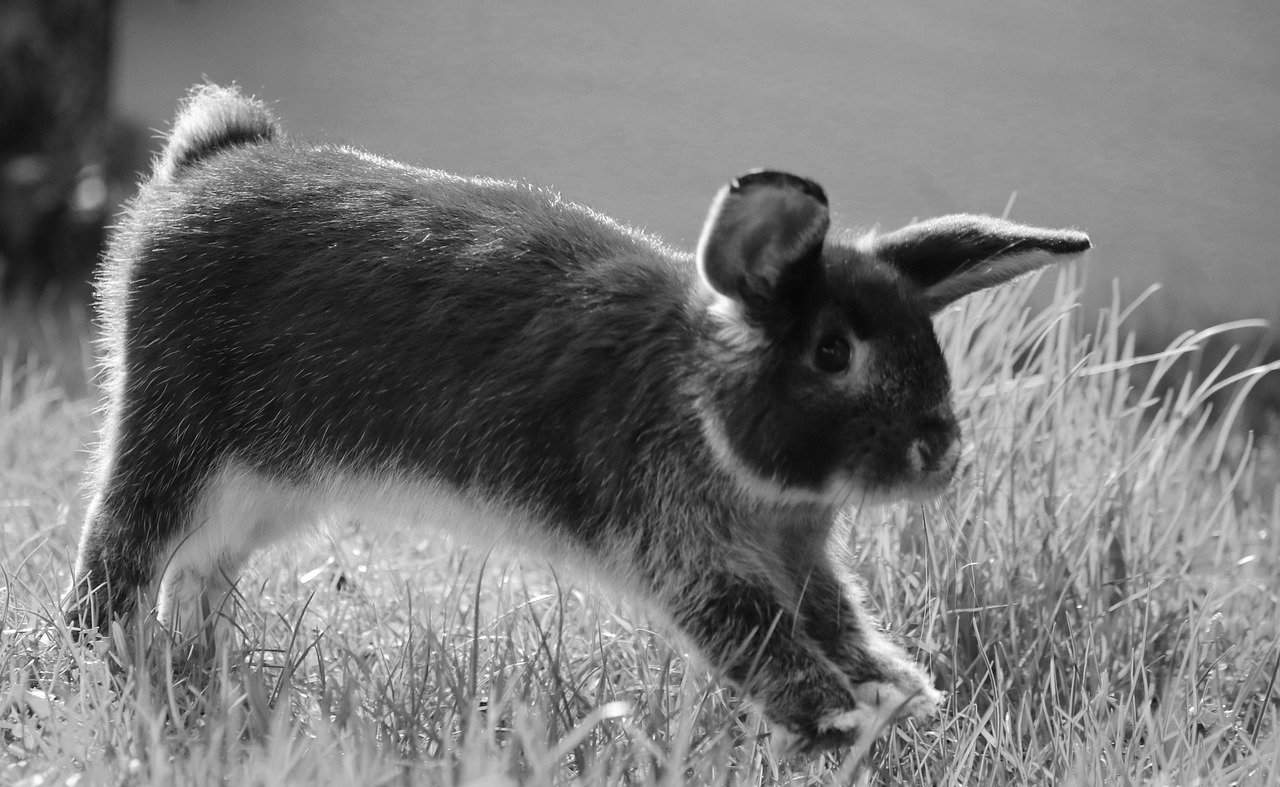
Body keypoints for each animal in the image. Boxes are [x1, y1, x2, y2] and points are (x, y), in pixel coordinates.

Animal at [65, 83, 1091, 754]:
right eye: (833, 352)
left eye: (927, 337)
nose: (941, 452)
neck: (697, 391)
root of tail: (201, 168)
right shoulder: (691, 552)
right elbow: (759, 634)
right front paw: (836, 717)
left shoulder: (797, 555)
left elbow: (834, 616)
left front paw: (901, 695)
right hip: (175, 436)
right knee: (120, 555)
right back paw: (103, 671)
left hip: (262, 487)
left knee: (197, 569)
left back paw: (199, 669)